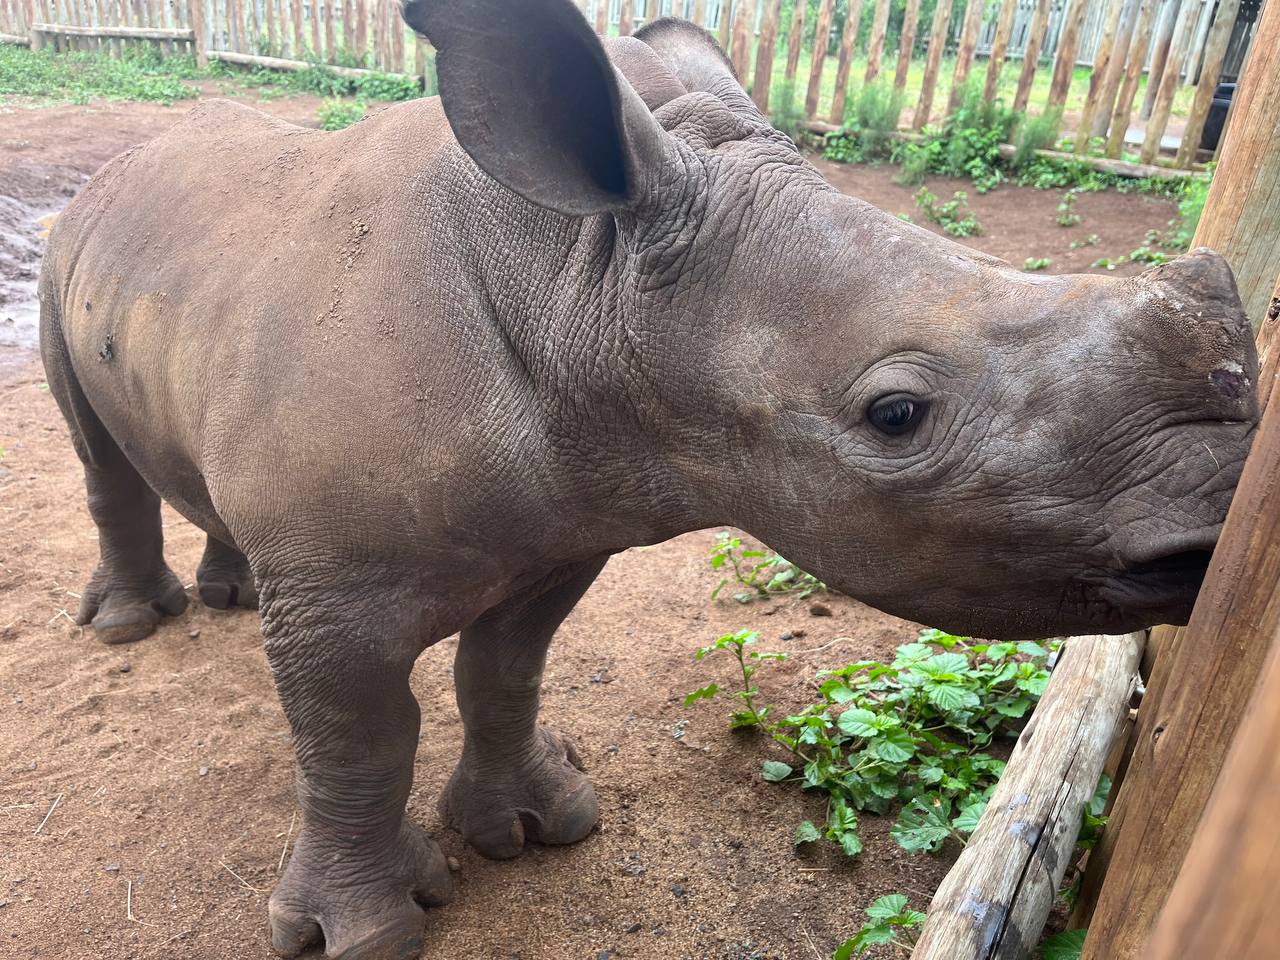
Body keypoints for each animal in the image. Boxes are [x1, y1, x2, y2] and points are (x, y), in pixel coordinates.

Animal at [37, 0, 1256, 955]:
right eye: (897, 415)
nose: (1213, 524)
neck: (583, 274)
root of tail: (116, 168)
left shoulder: (565, 518)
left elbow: (504, 671)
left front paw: (539, 829)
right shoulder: (336, 589)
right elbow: (357, 737)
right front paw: (369, 932)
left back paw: (232, 592)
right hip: (59, 252)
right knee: (98, 456)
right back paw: (131, 625)